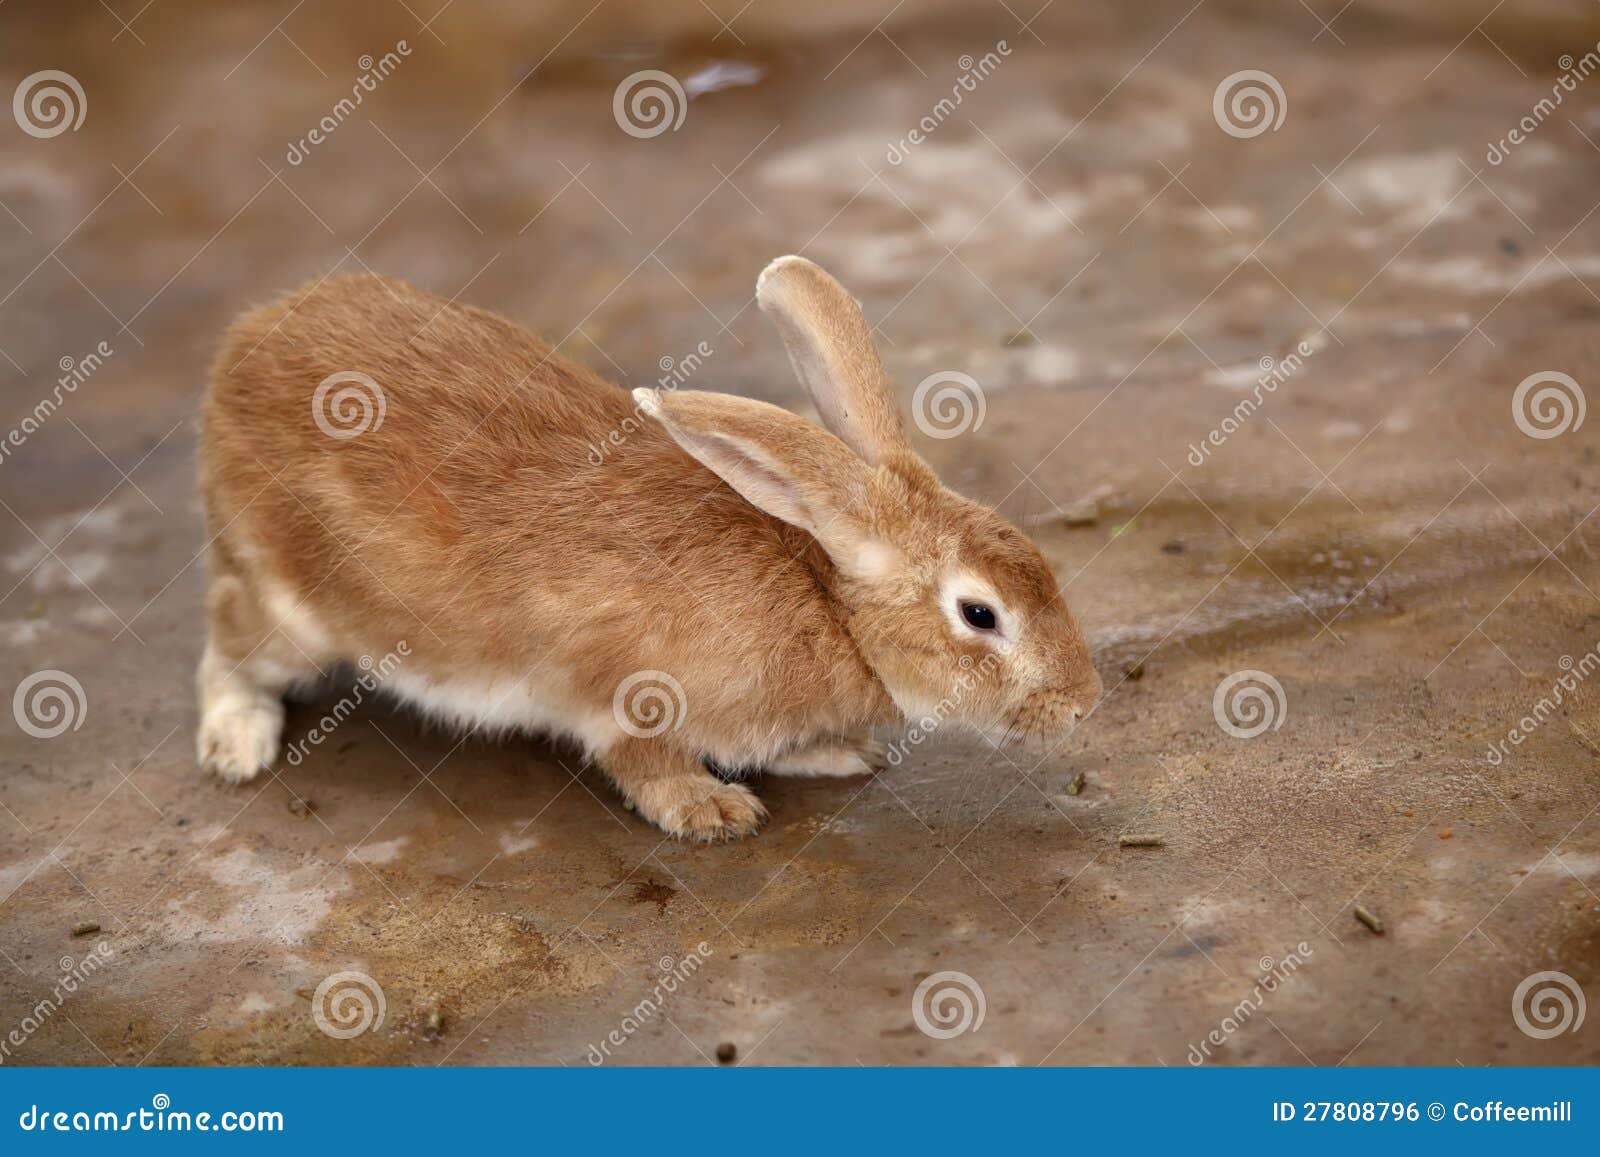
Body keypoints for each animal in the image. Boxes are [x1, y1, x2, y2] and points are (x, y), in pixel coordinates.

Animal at [196, 255, 1102, 840]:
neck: (827, 605)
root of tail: (240, 348)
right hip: (290, 608)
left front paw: (837, 753)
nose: (1084, 702)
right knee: (227, 649)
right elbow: (640, 761)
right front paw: (712, 810)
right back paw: (236, 747)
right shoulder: (625, 692)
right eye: (980, 614)